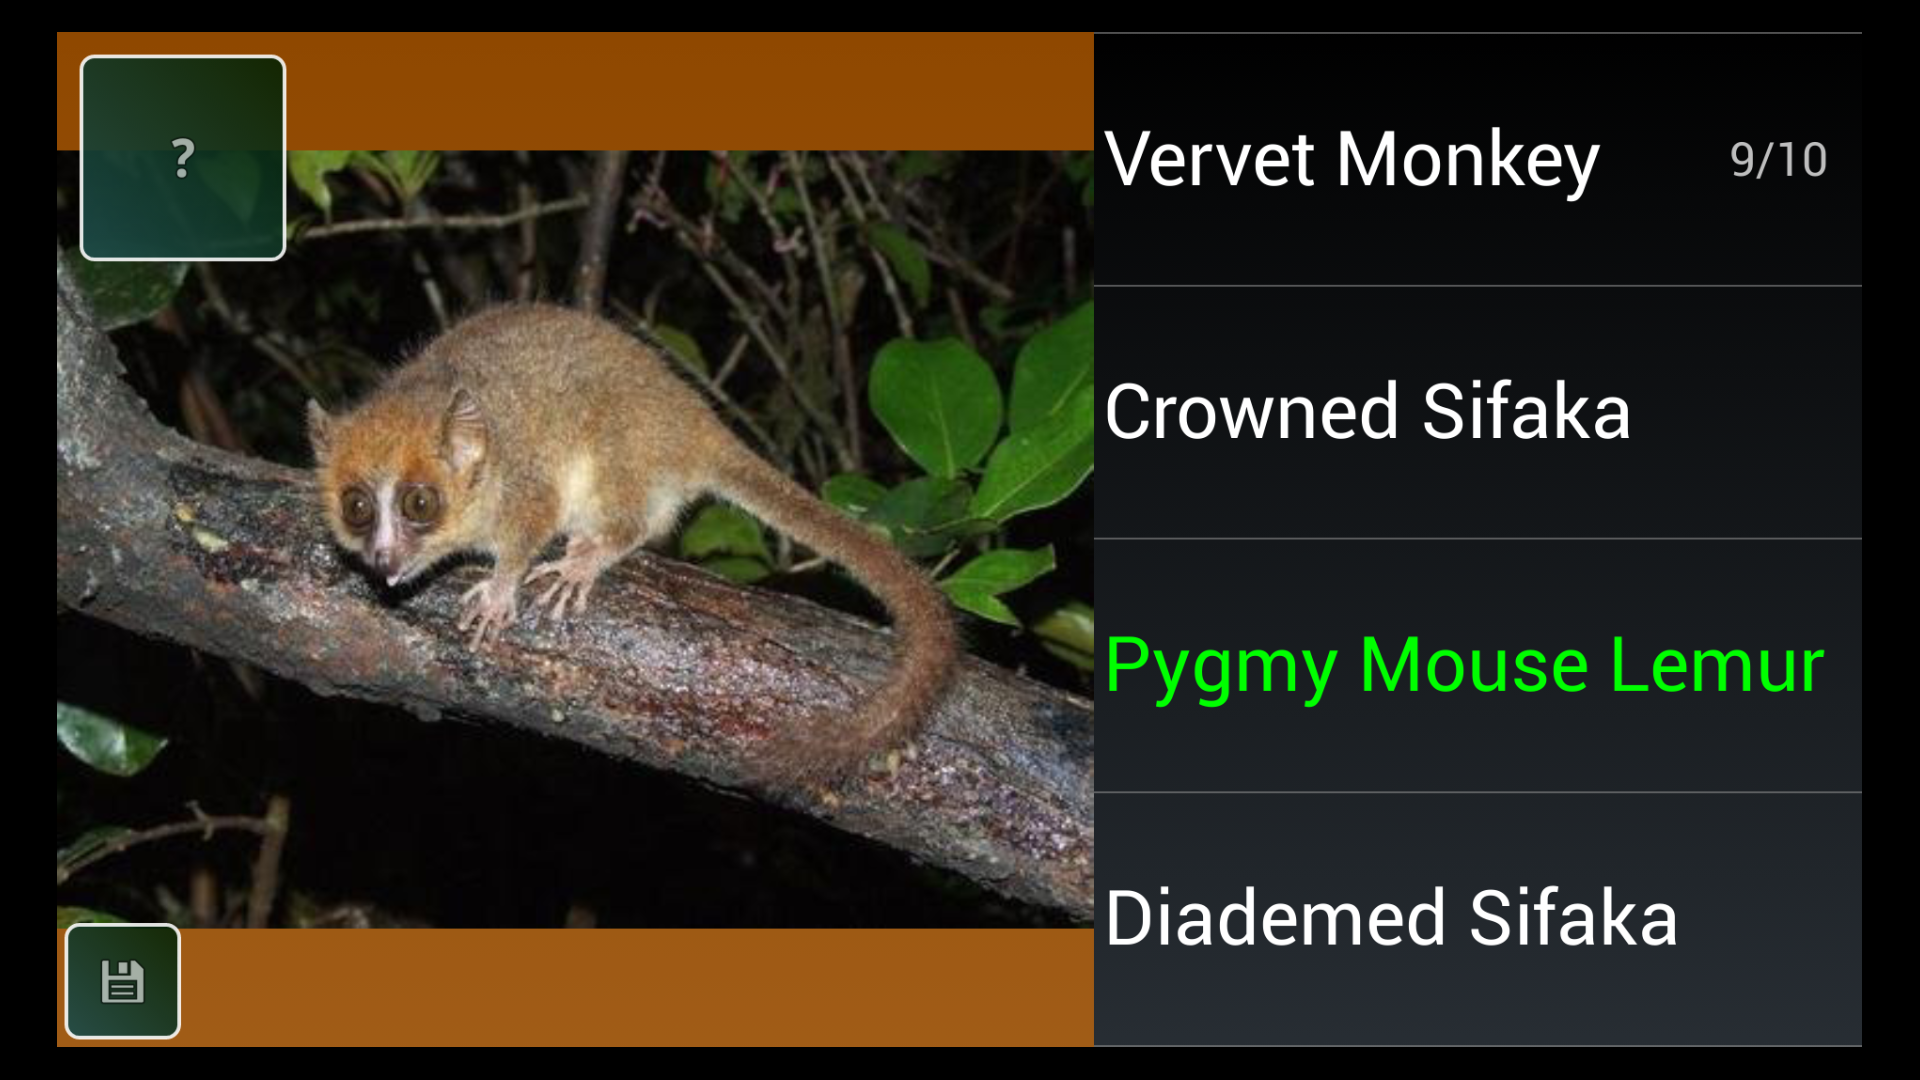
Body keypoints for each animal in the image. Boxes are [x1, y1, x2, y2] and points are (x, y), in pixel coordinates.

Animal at [306, 303, 957, 781]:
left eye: (419, 505)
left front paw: (497, 591)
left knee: (635, 518)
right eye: (357, 509)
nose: (384, 559)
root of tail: (697, 427)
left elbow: (529, 531)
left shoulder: (525, 487)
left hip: (619, 450)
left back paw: (587, 557)